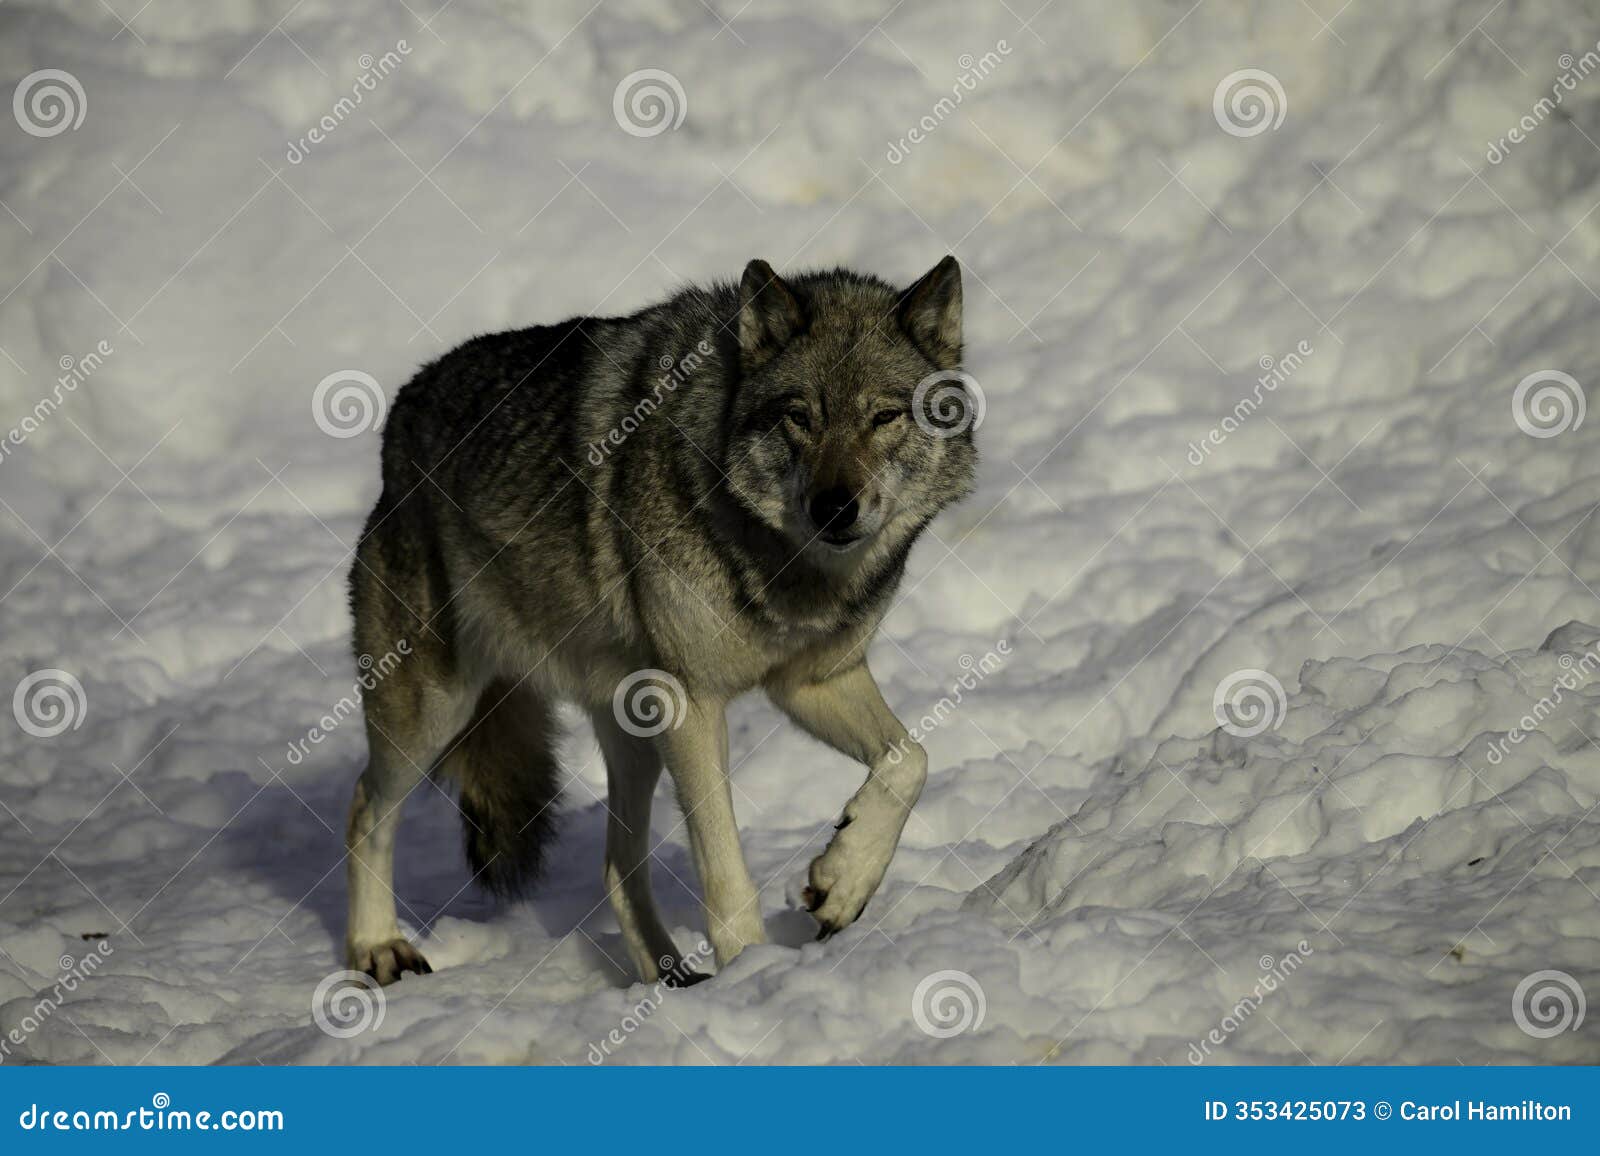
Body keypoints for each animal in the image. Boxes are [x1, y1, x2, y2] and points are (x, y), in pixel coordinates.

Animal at [344, 256, 977, 986]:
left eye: (884, 417)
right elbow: (725, 869)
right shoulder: (692, 701)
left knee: (616, 870)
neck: (789, 568)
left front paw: (843, 884)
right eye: (799, 417)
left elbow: (911, 761)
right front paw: (751, 969)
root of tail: (400, 413)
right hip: (434, 710)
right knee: (365, 808)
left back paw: (671, 980)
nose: (835, 508)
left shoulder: (812, 682)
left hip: (632, 732)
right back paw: (377, 948)